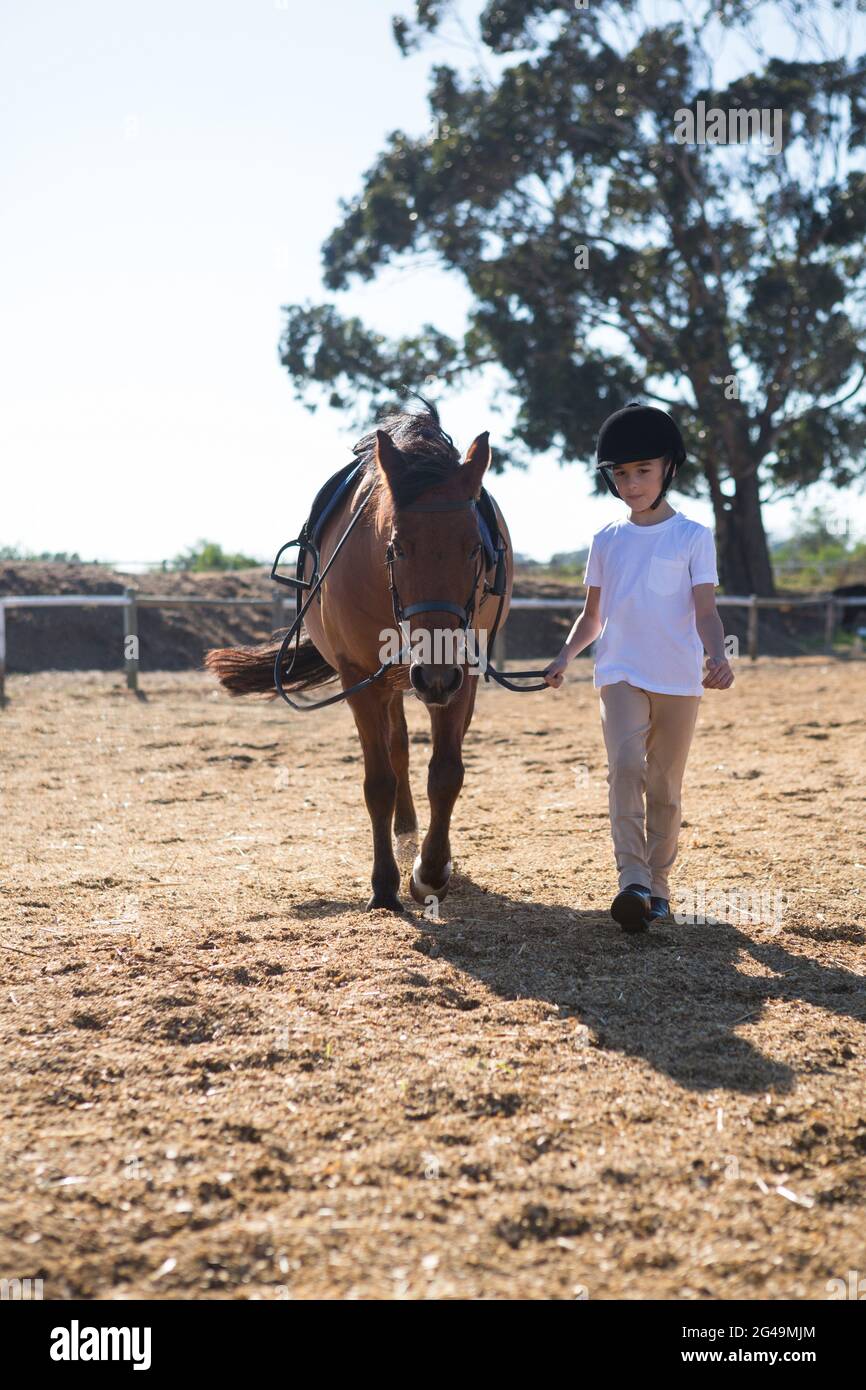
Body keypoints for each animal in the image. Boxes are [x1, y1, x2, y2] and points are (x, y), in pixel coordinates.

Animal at [204, 404, 513, 913]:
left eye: (475, 548)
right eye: (398, 547)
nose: (435, 676)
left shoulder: (460, 672)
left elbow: (446, 773)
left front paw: (431, 872)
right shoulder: (360, 677)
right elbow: (378, 782)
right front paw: (385, 885)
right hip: (393, 681)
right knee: (397, 749)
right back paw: (405, 836)